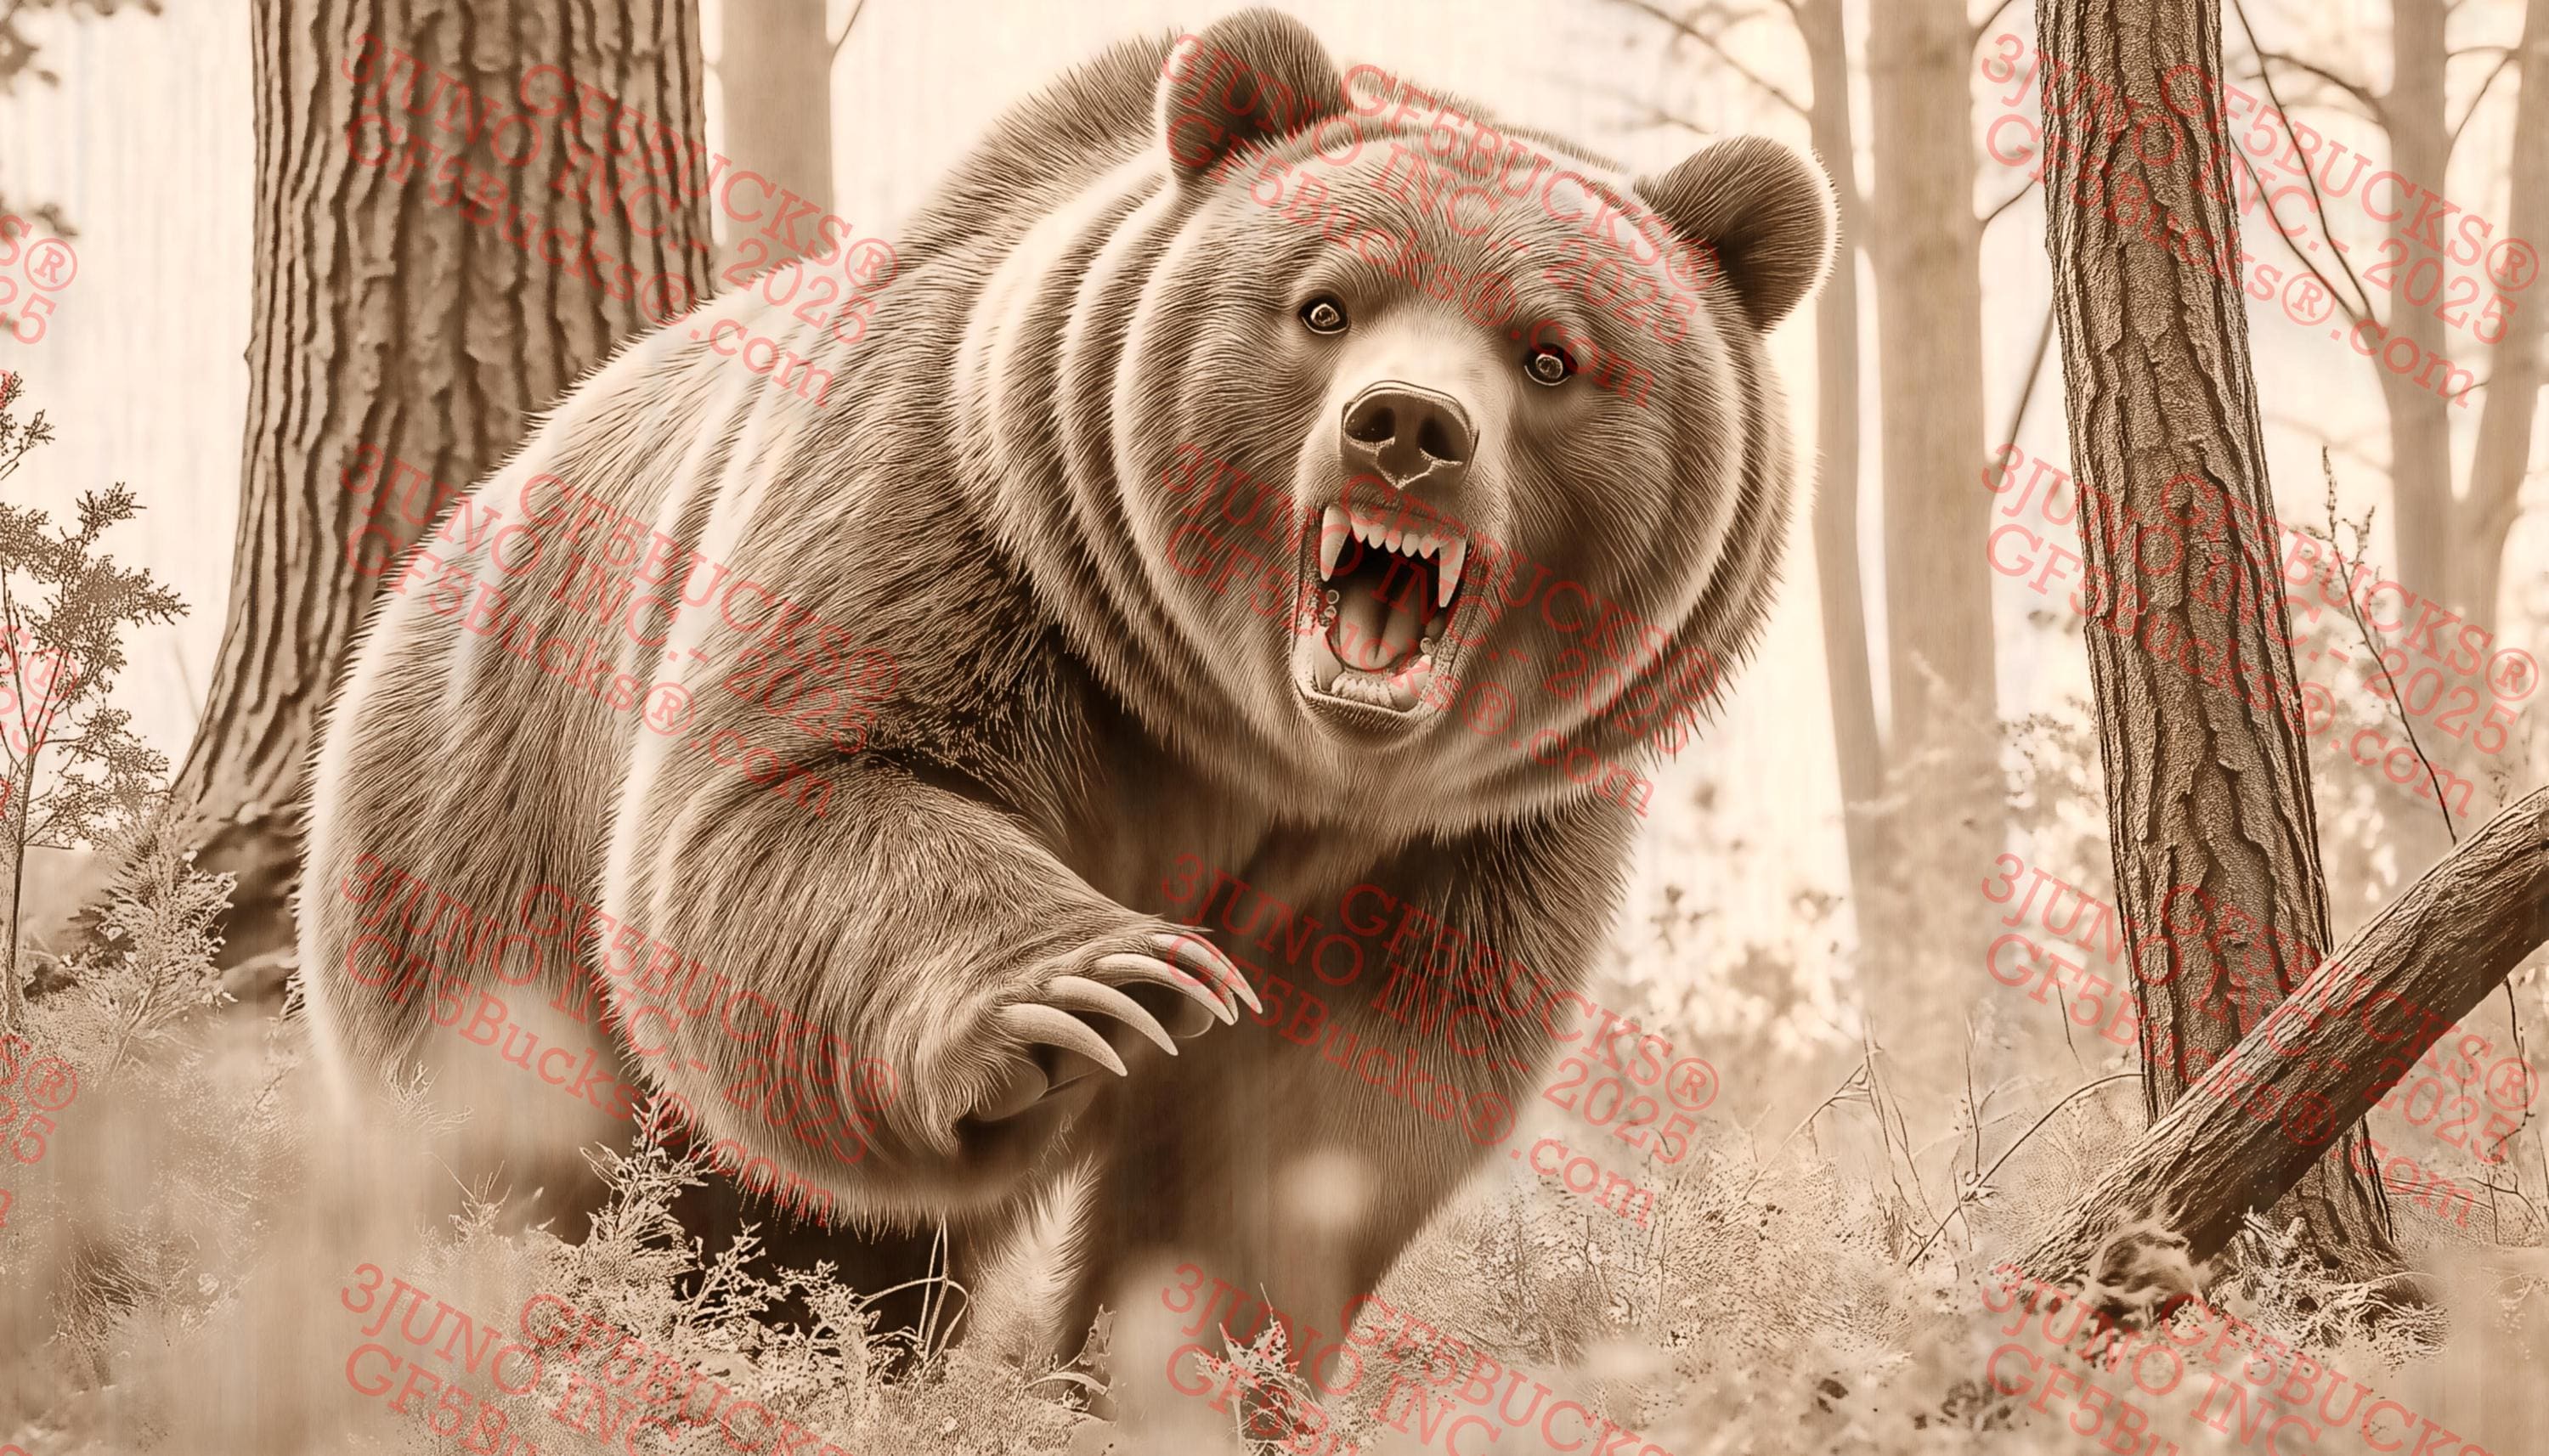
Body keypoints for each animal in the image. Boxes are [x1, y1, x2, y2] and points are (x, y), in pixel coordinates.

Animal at [297, 6, 1830, 1440]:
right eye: (1327, 305)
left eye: (1551, 352)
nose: (1406, 426)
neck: (1261, 748)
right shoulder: (961, 525)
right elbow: (790, 795)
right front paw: (1095, 985)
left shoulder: (1470, 834)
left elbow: (1318, 1110)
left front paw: (1187, 1374)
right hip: (476, 834)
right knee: (531, 1135)